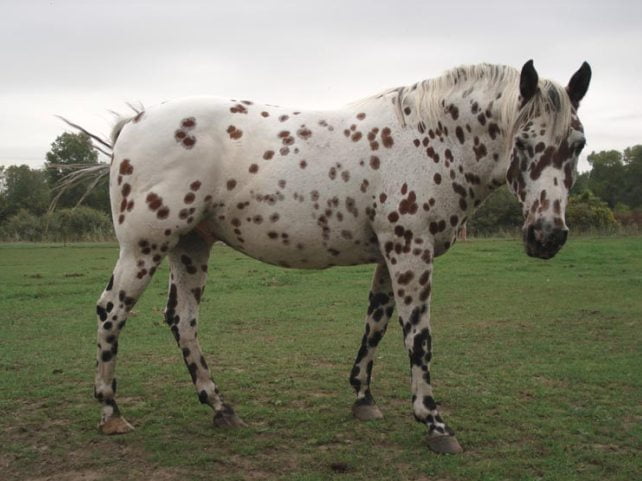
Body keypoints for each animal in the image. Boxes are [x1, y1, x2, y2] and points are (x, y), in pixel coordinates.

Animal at [93, 60, 591, 454]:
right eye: (522, 142)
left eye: (578, 145)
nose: (546, 236)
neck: (431, 137)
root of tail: (133, 123)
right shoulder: (410, 252)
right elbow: (418, 338)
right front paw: (434, 423)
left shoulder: (390, 255)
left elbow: (376, 323)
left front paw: (363, 399)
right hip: (144, 248)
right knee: (111, 312)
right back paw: (111, 413)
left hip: (190, 247)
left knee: (183, 321)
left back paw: (221, 407)